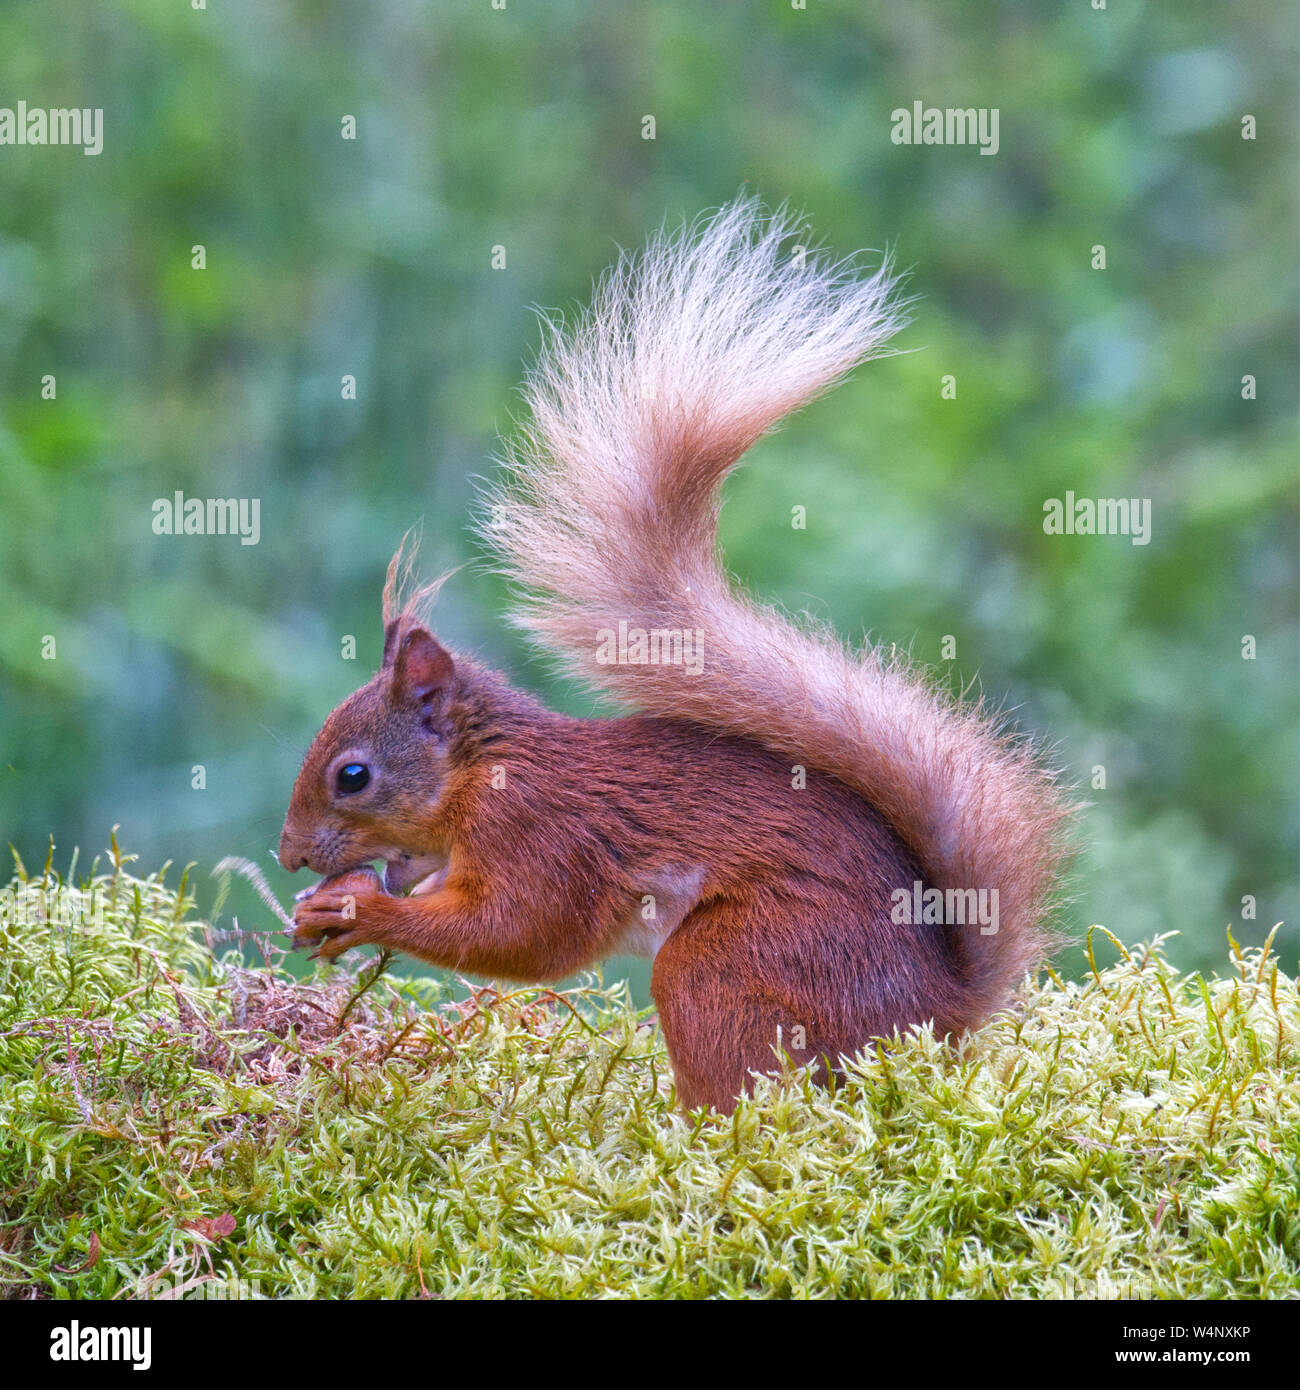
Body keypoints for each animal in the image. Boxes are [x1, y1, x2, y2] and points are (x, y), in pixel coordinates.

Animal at [281, 198, 1071, 1114]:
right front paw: (327, 904)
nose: (288, 855)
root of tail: (935, 1021)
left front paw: (358, 916)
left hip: (726, 962)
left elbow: (520, 936)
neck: (485, 772)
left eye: (353, 776)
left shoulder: (543, 837)